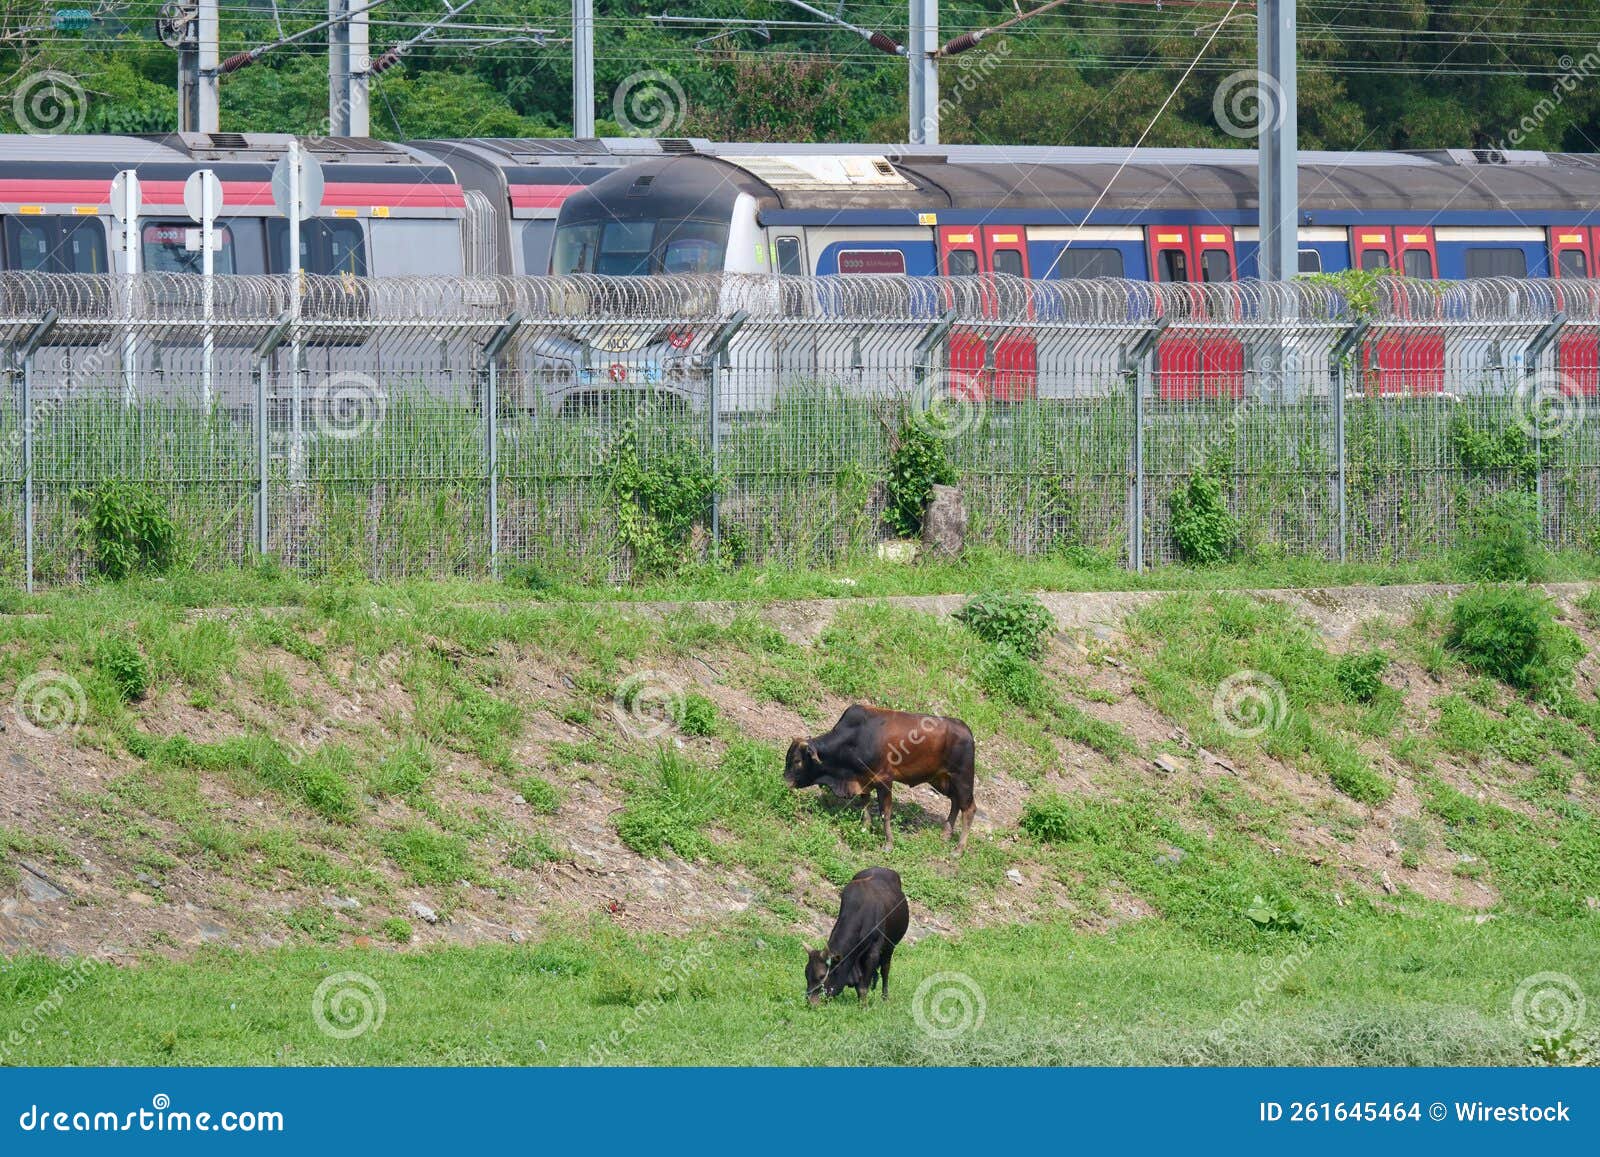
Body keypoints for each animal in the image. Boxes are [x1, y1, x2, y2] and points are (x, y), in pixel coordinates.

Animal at [785, 704, 977, 854]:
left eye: (797, 761)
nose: (785, 781)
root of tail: (966, 729)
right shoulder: (863, 779)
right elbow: (865, 805)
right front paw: (865, 827)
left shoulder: (884, 780)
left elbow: (885, 812)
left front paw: (888, 844)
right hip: (941, 779)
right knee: (955, 801)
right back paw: (945, 835)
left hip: (962, 778)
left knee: (969, 808)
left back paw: (958, 849)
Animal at [805, 867, 910, 1004]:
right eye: (806, 974)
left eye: (822, 976)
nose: (810, 1003)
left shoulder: (873, 953)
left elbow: (863, 987)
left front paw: (863, 1005)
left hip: (890, 946)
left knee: (885, 970)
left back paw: (885, 998)